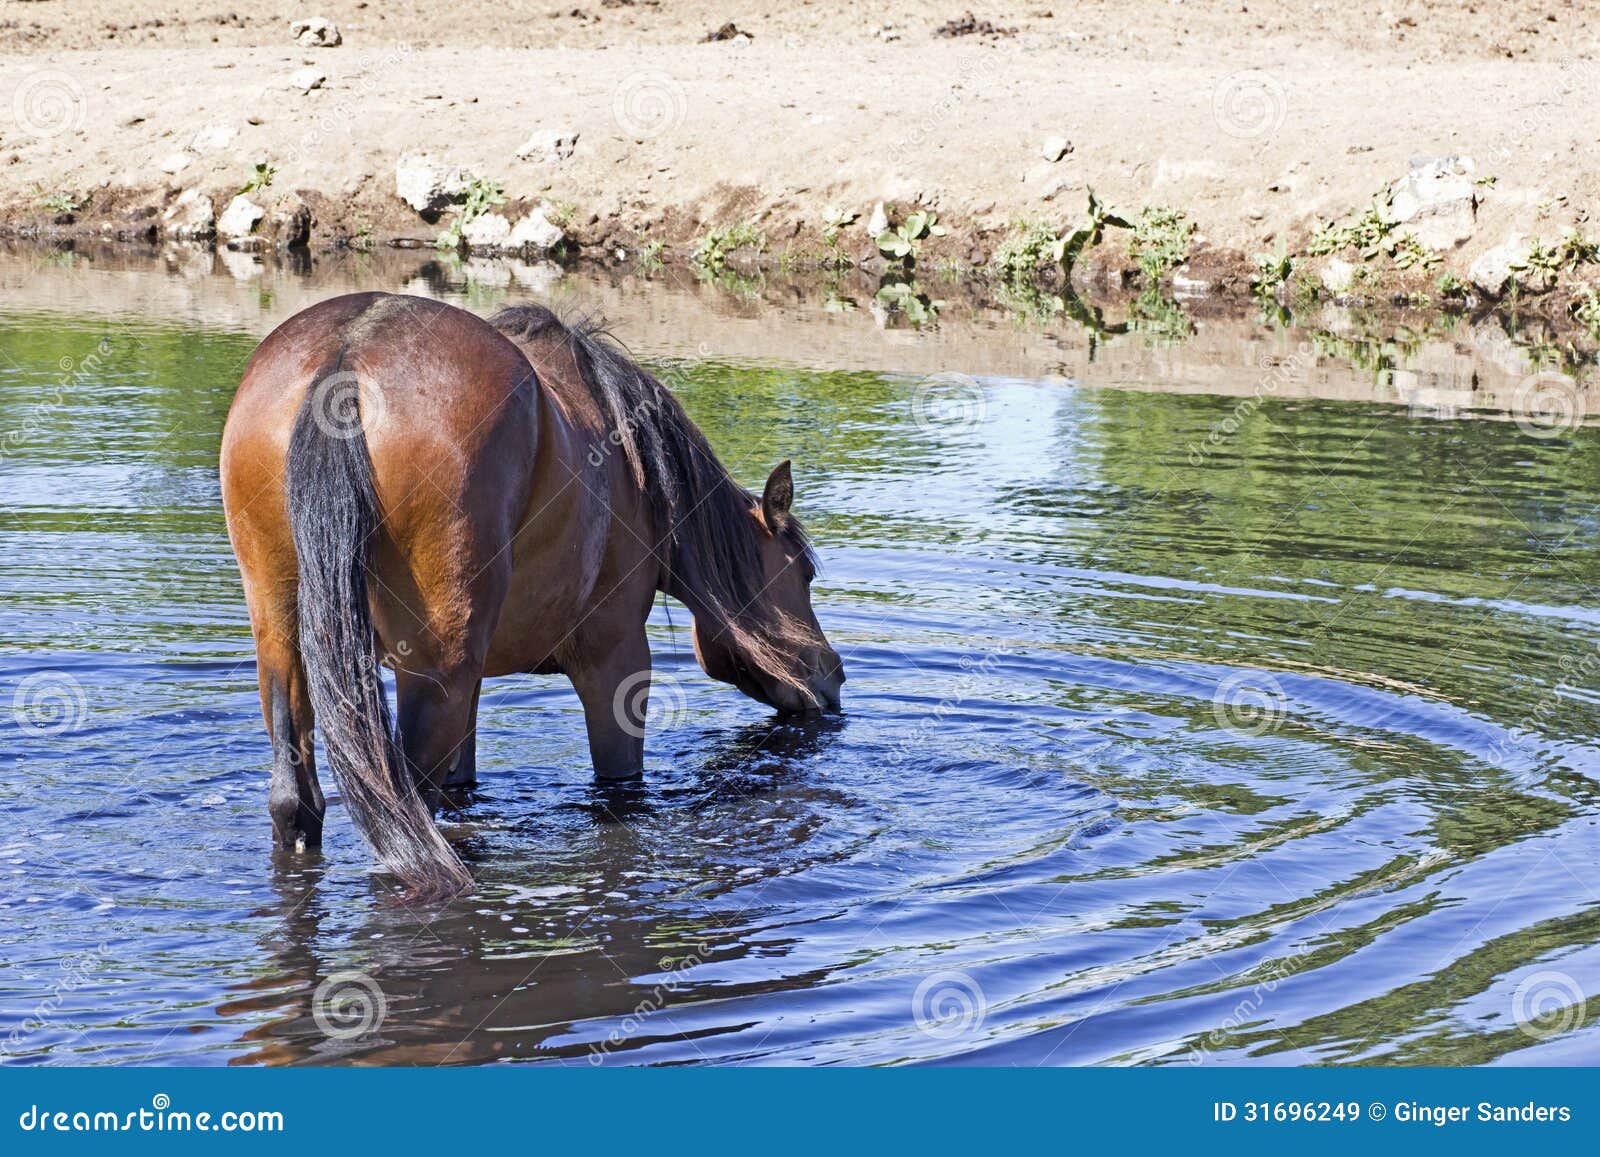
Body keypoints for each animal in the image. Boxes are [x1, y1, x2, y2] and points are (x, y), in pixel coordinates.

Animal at [219, 292, 845, 899]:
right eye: (803, 575)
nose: (834, 676)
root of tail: (346, 360)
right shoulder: (615, 661)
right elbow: (619, 789)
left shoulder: (467, 684)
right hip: (440, 673)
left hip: (292, 644)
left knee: (297, 802)